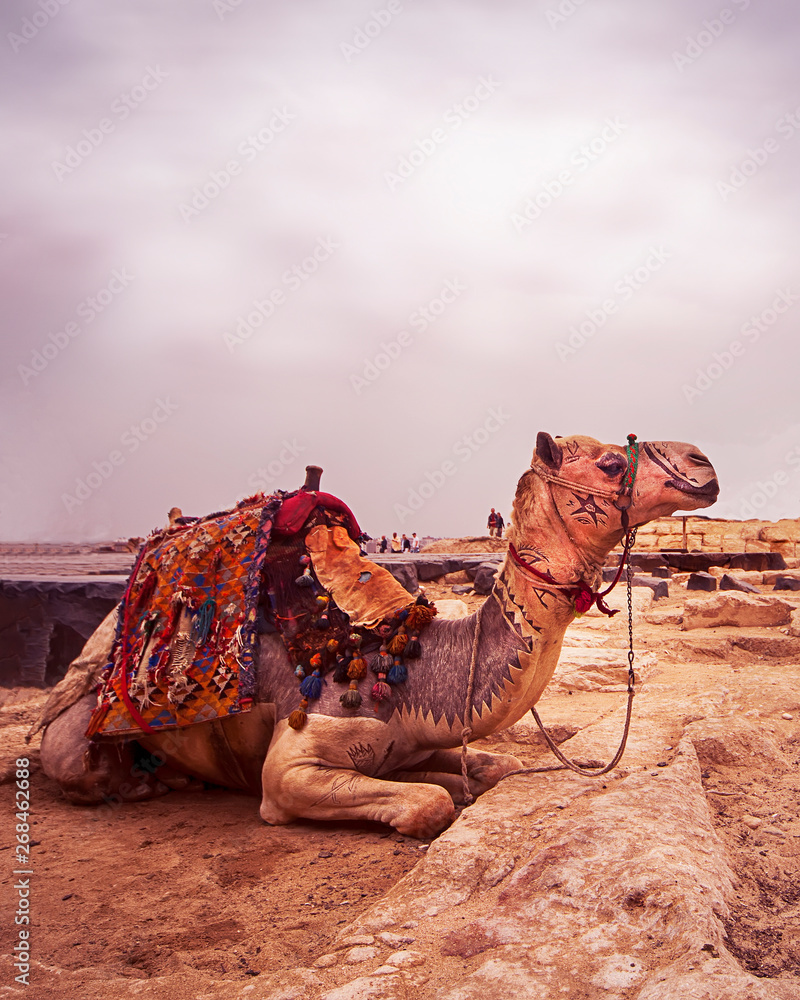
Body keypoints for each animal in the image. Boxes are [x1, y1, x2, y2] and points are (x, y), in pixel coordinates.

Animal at [38, 433, 719, 838]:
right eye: (610, 463)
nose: (704, 464)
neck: (413, 661)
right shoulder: (294, 759)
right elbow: (426, 804)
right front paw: (437, 795)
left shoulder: (419, 739)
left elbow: (491, 766)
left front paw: (461, 777)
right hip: (78, 734)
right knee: (83, 769)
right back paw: (144, 781)